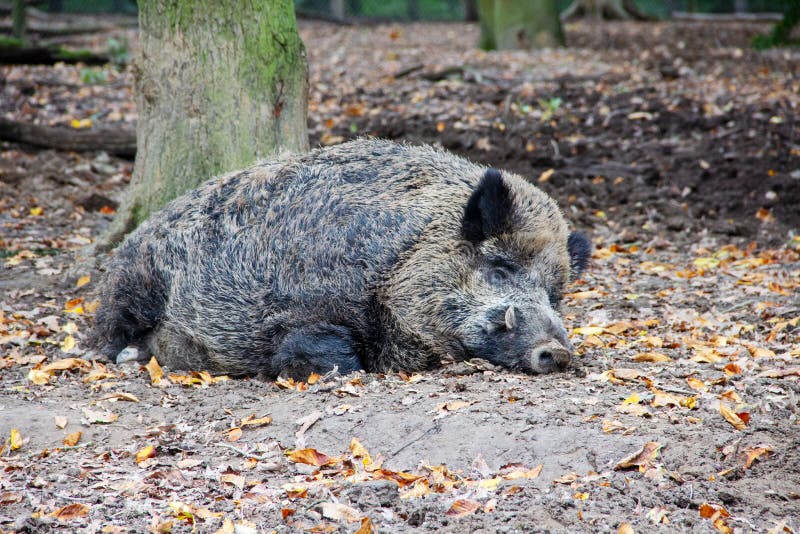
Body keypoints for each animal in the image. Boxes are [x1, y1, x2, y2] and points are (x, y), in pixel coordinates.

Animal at [90, 139, 590, 378]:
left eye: (554, 295)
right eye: (500, 268)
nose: (558, 352)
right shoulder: (299, 307)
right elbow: (328, 352)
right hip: (134, 283)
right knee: (107, 333)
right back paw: (124, 355)